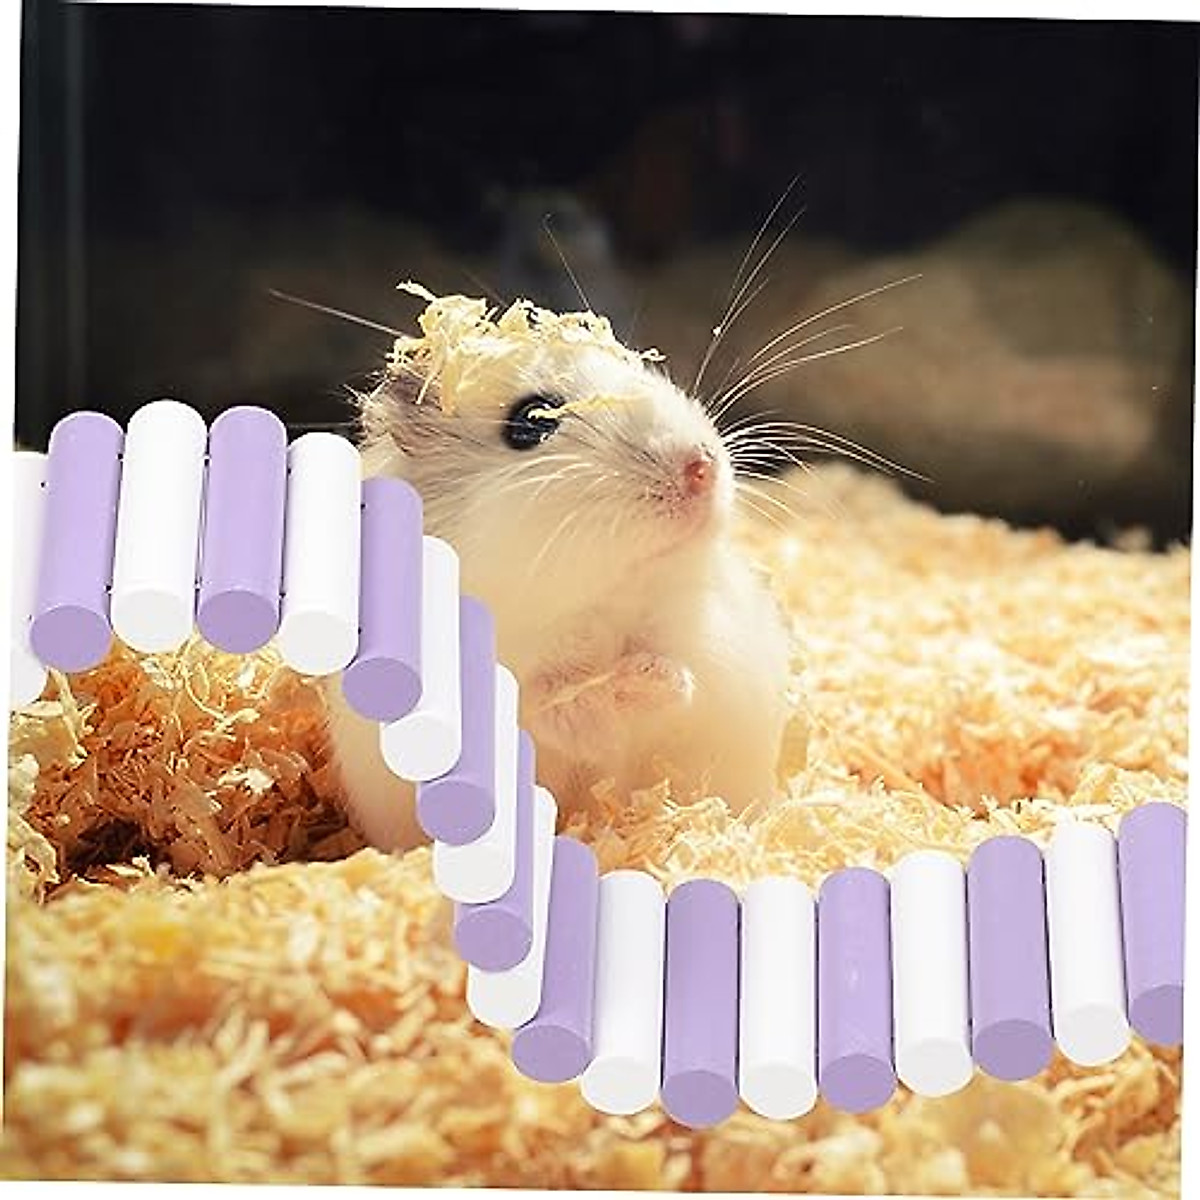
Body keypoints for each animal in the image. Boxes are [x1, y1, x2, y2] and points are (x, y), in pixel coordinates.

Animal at [323, 286, 795, 851]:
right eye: (533, 420)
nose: (701, 467)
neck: (597, 599)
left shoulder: (708, 641)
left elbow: (683, 677)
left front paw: (644, 677)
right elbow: (551, 707)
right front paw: (607, 695)